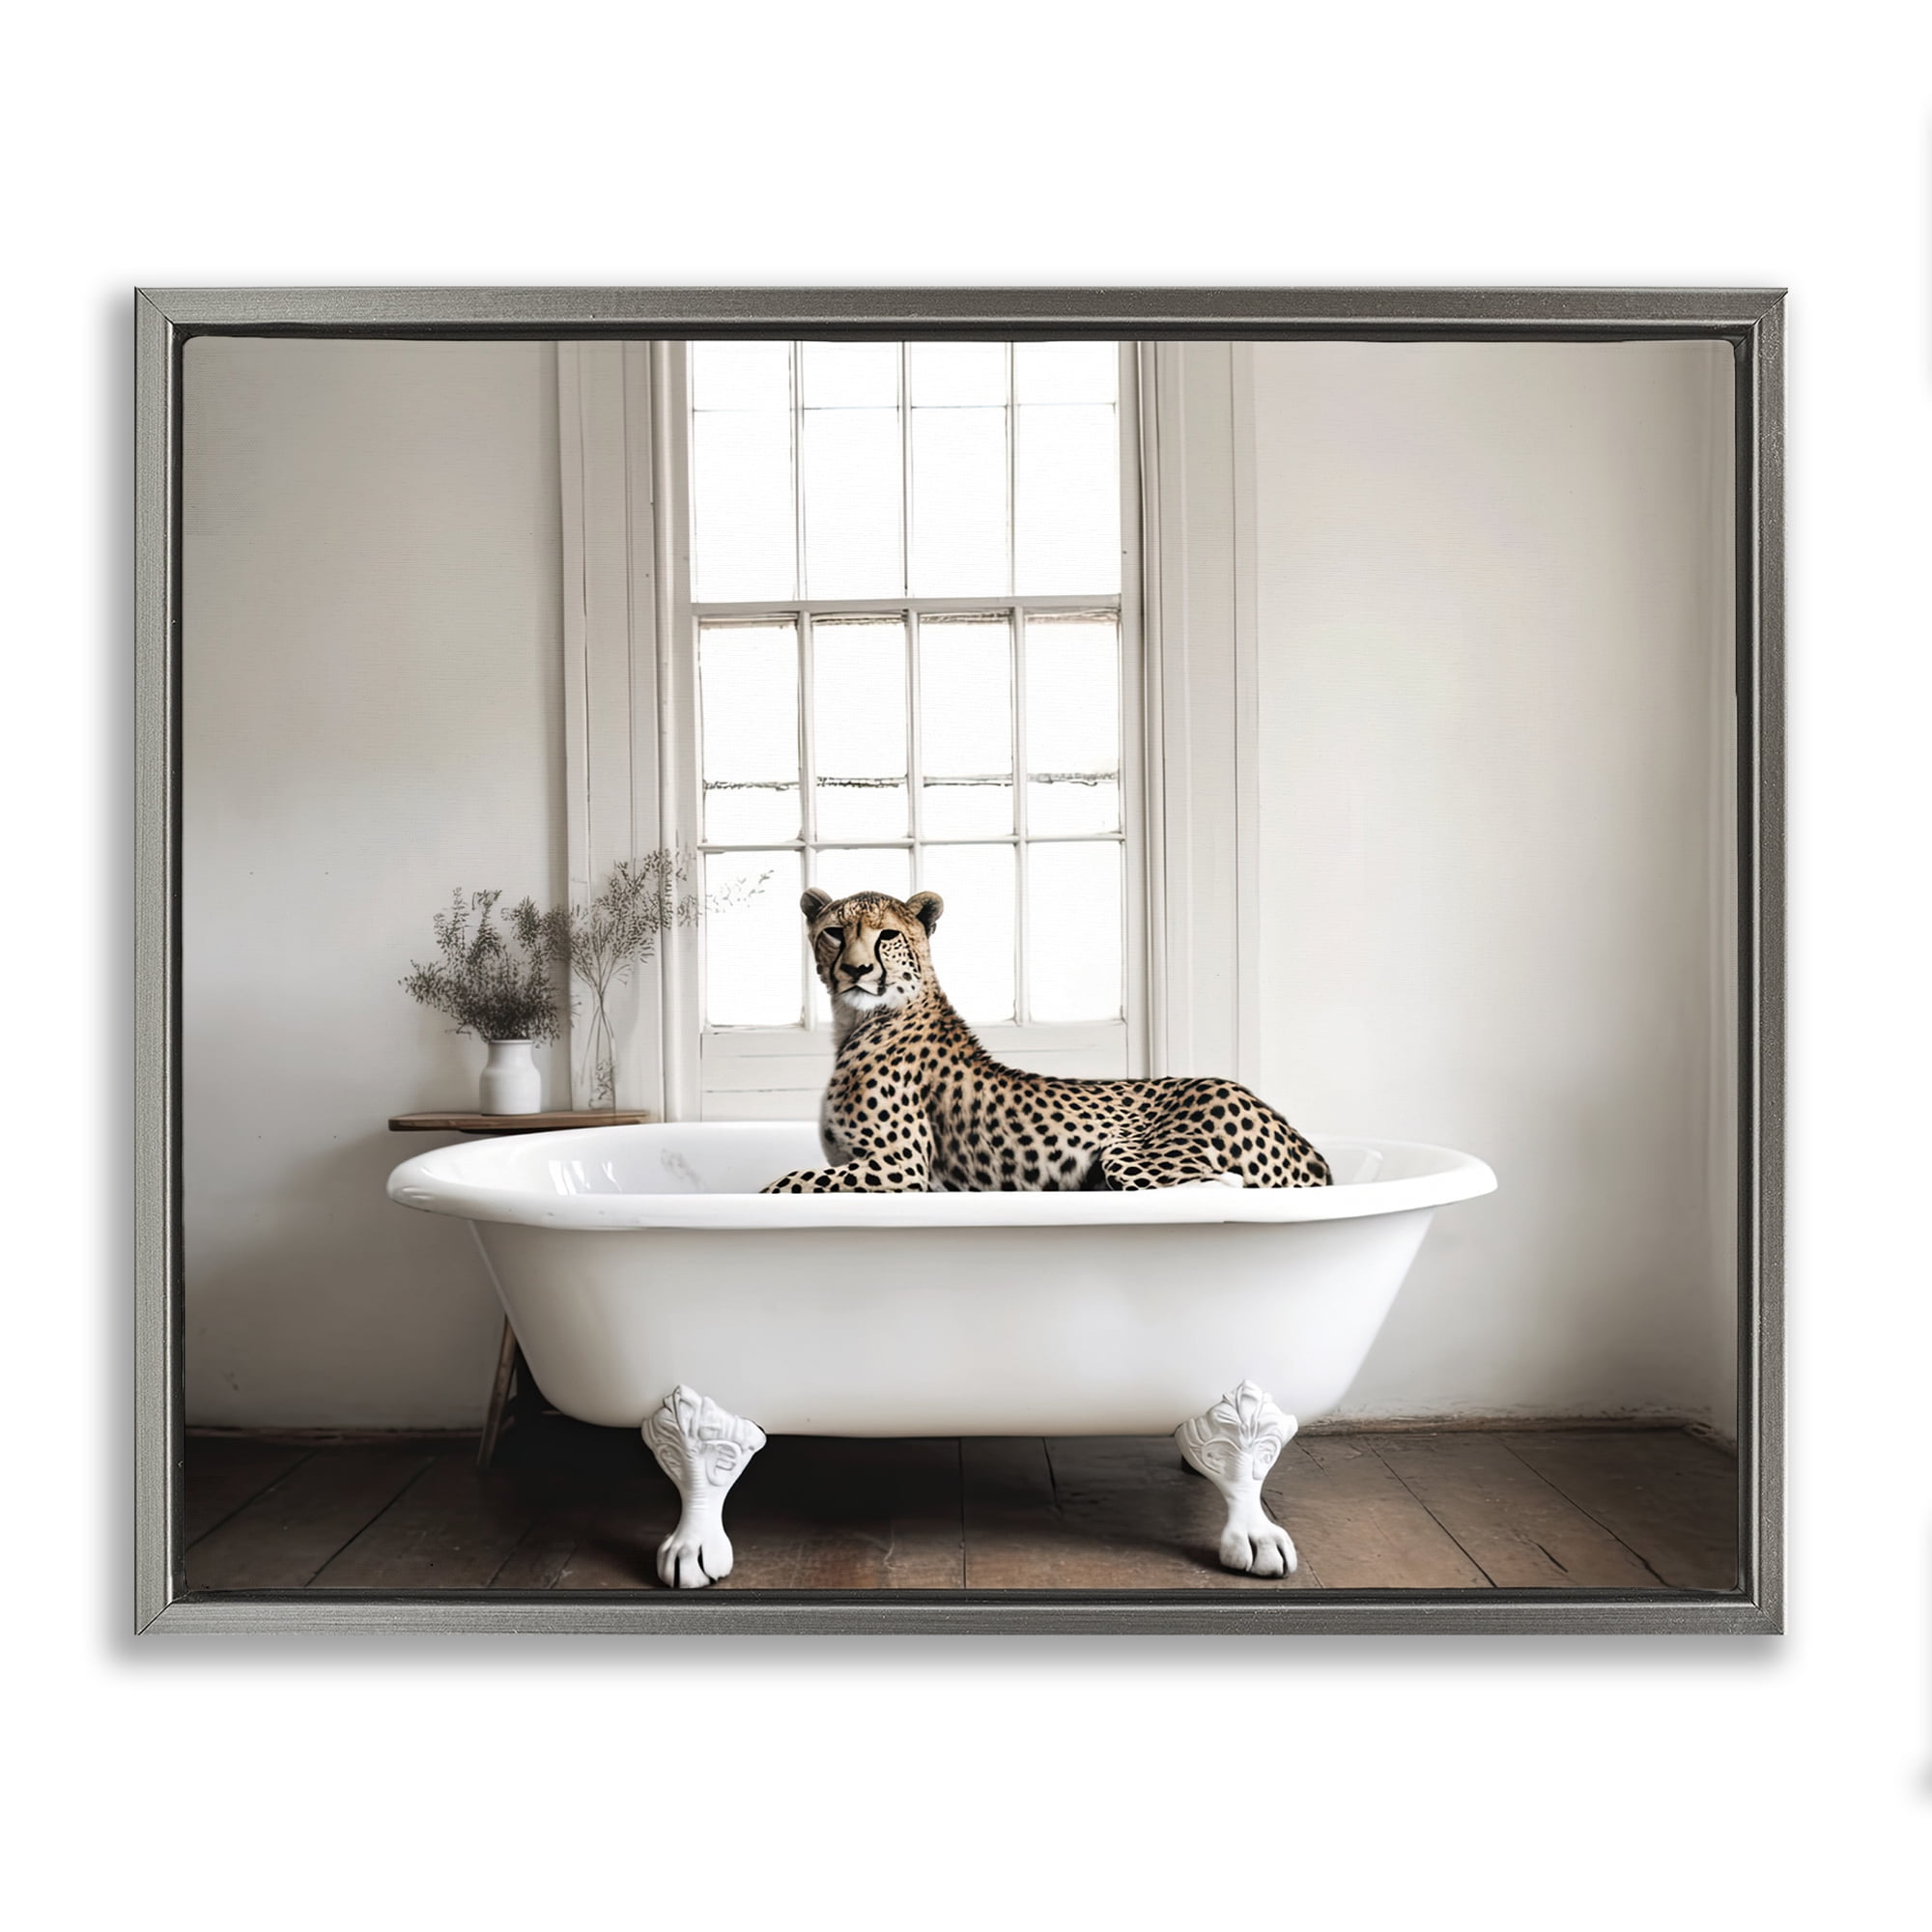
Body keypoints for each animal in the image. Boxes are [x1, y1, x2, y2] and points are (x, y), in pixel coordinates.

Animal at [760, 887, 1331, 1195]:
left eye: (887, 936)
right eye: (835, 932)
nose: (857, 970)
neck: (861, 1019)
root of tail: (1316, 1157)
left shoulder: (898, 1170)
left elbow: (782, 1182)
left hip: (1131, 1154)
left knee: (1212, 1185)